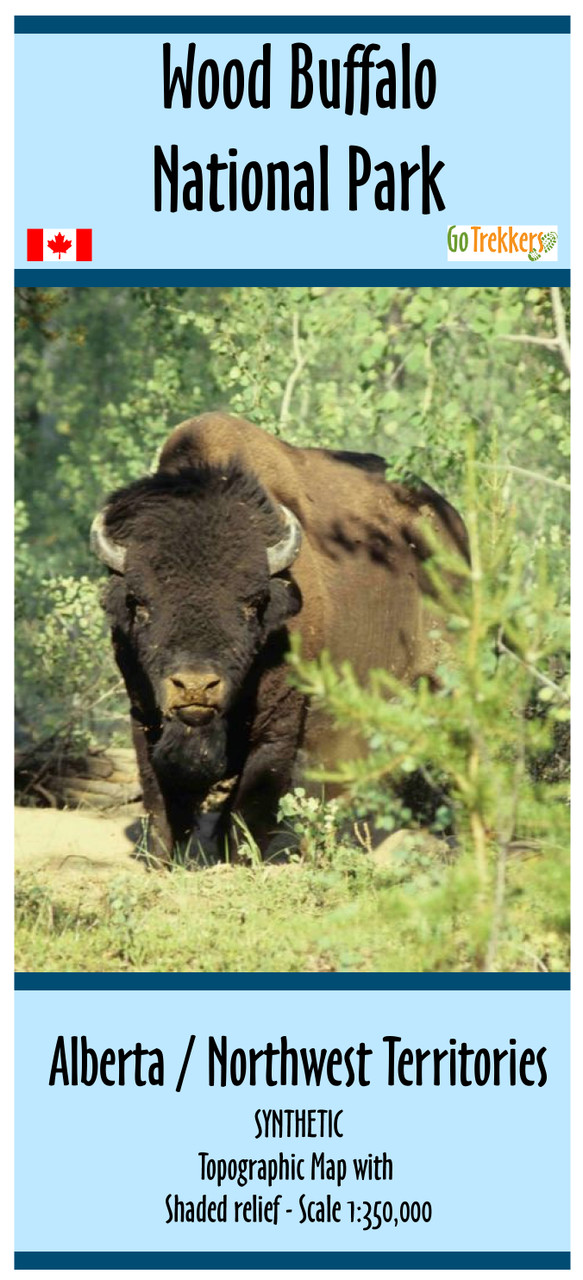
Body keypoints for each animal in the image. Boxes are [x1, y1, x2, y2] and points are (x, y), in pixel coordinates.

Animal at [91, 413, 468, 863]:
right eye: (139, 602)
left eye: (252, 603)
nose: (196, 686)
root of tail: (452, 525)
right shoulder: (143, 715)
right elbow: (160, 799)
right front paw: (161, 860)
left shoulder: (279, 725)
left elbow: (251, 804)